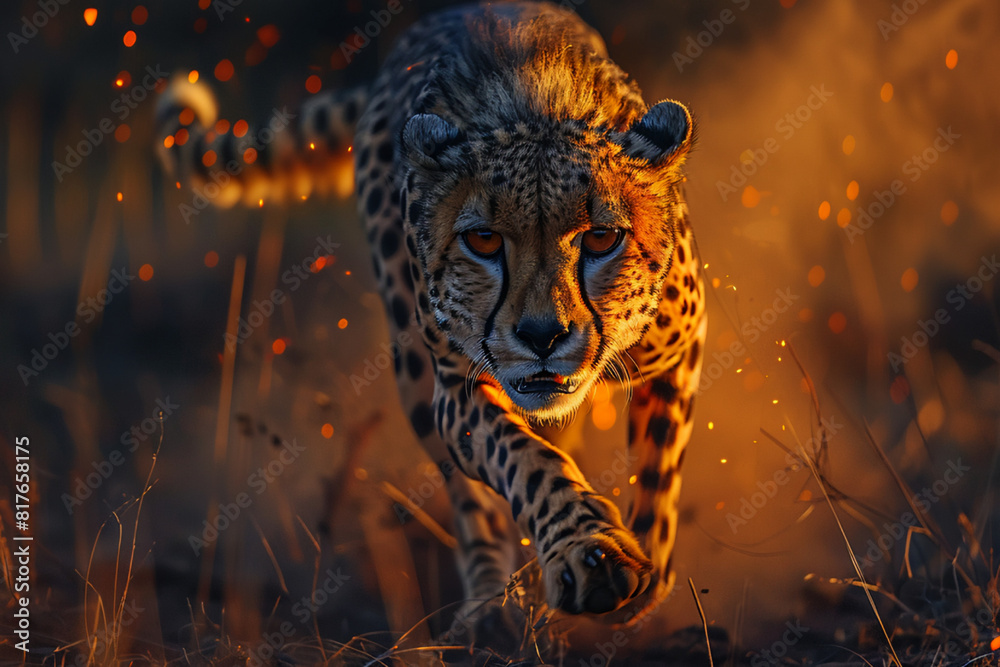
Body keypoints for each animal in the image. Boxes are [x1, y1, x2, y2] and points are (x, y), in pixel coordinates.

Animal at [158, 0, 706, 623]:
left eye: (602, 238)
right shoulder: (456, 388)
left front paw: (645, 574)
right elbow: (524, 459)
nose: (542, 336)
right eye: (484, 241)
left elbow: (659, 462)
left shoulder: (681, 346)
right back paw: (489, 609)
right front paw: (588, 551)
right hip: (415, 376)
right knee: (472, 500)